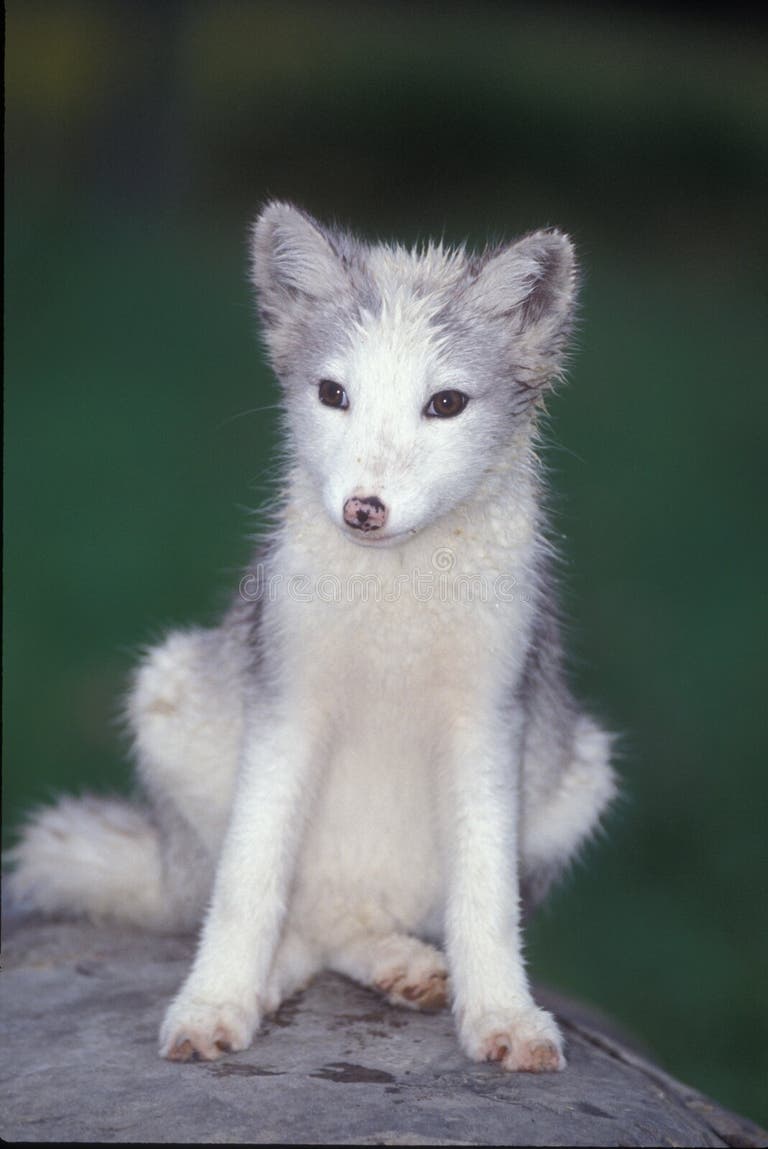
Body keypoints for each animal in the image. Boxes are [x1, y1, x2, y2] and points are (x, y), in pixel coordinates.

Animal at [7, 202, 616, 1073]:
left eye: (446, 404)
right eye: (334, 394)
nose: (364, 509)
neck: (395, 605)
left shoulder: (488, 722)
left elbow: (487, 901)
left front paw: (504, 1014)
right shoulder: (288, 709)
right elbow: (248, 883)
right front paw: (214, 1001)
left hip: (582, 773)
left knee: (356, 932)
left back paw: (401, 962)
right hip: (166, 695)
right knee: (270, 916)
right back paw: (266, 981)